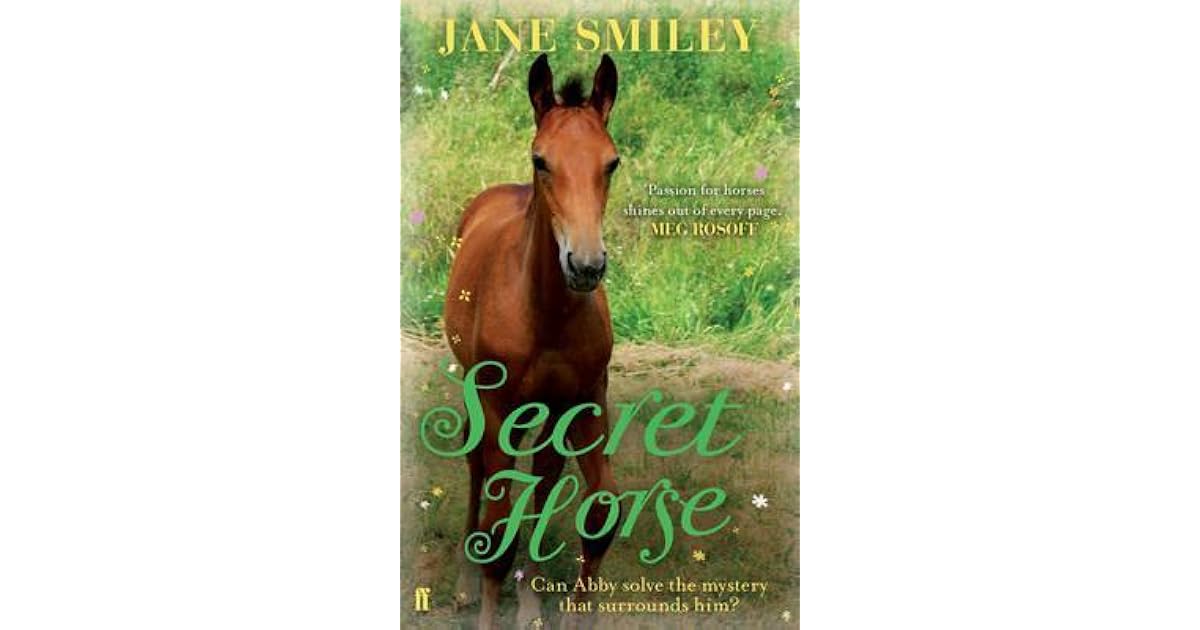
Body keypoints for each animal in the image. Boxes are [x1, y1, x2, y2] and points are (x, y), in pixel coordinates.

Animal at [442, 53, 622, 630]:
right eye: (540, 160)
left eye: (611, 163)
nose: (585, 266)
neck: (546, 315)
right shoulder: (498, 405)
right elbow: (499, 533)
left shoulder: (585, 401)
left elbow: (600, 511)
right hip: (483, 395)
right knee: (478, 466)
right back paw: (462, 584)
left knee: (541, 479)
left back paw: (529, 600)